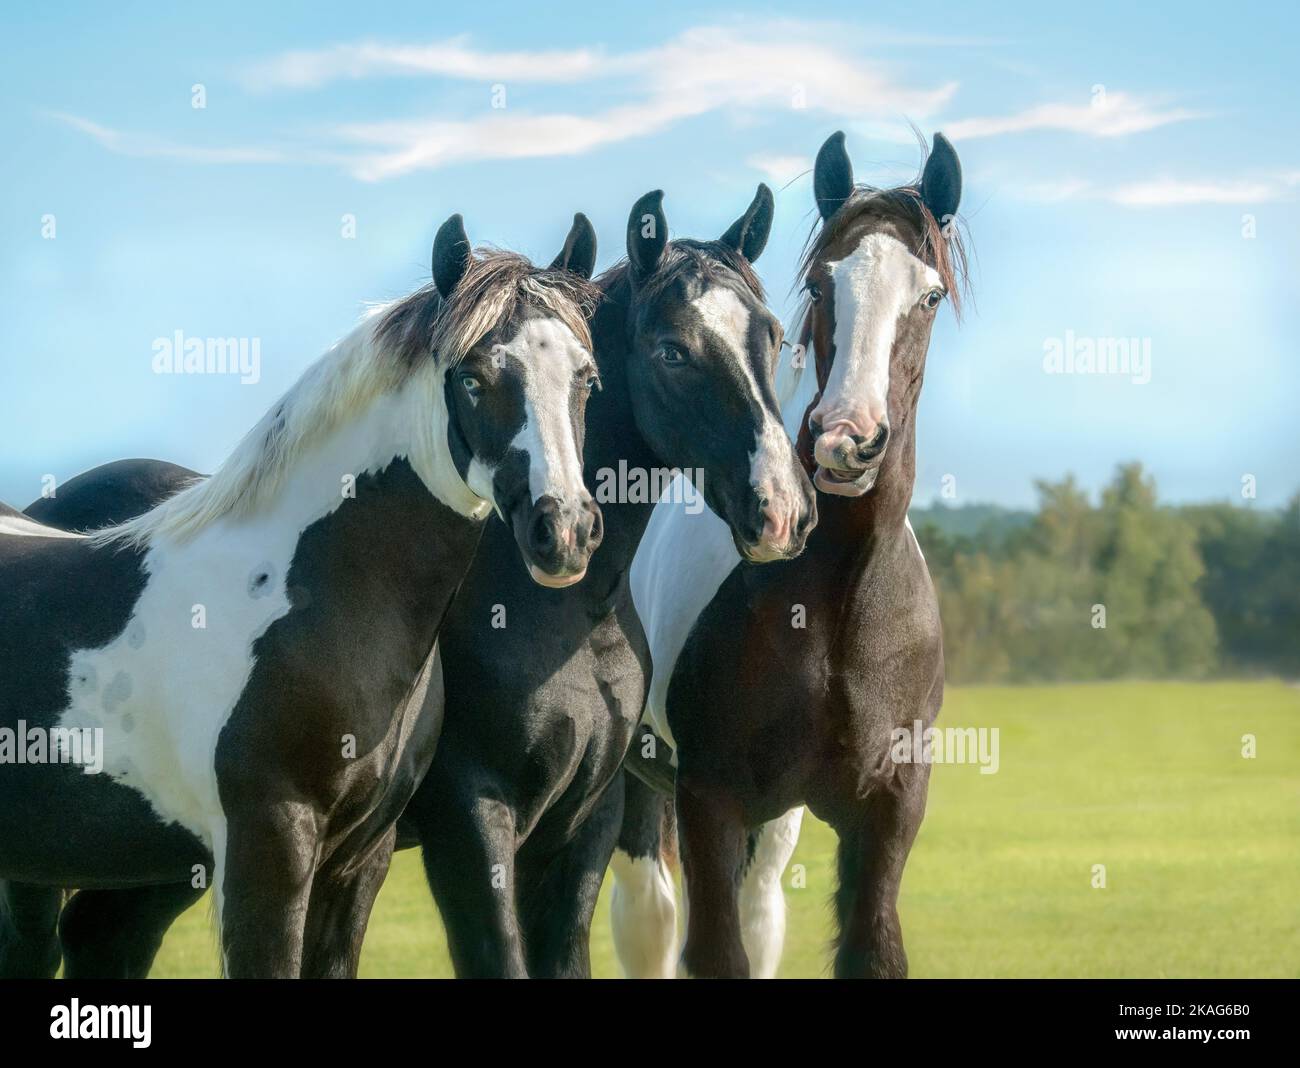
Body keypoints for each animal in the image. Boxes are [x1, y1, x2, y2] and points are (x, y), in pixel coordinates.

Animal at [610, 130, 967, 978]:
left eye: (929, 295)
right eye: (820, 281)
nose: (846, 439)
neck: (838, 600)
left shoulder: (890, 809)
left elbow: (867, 948)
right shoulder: (707, 799)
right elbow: (714, 951)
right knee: (647, 920)